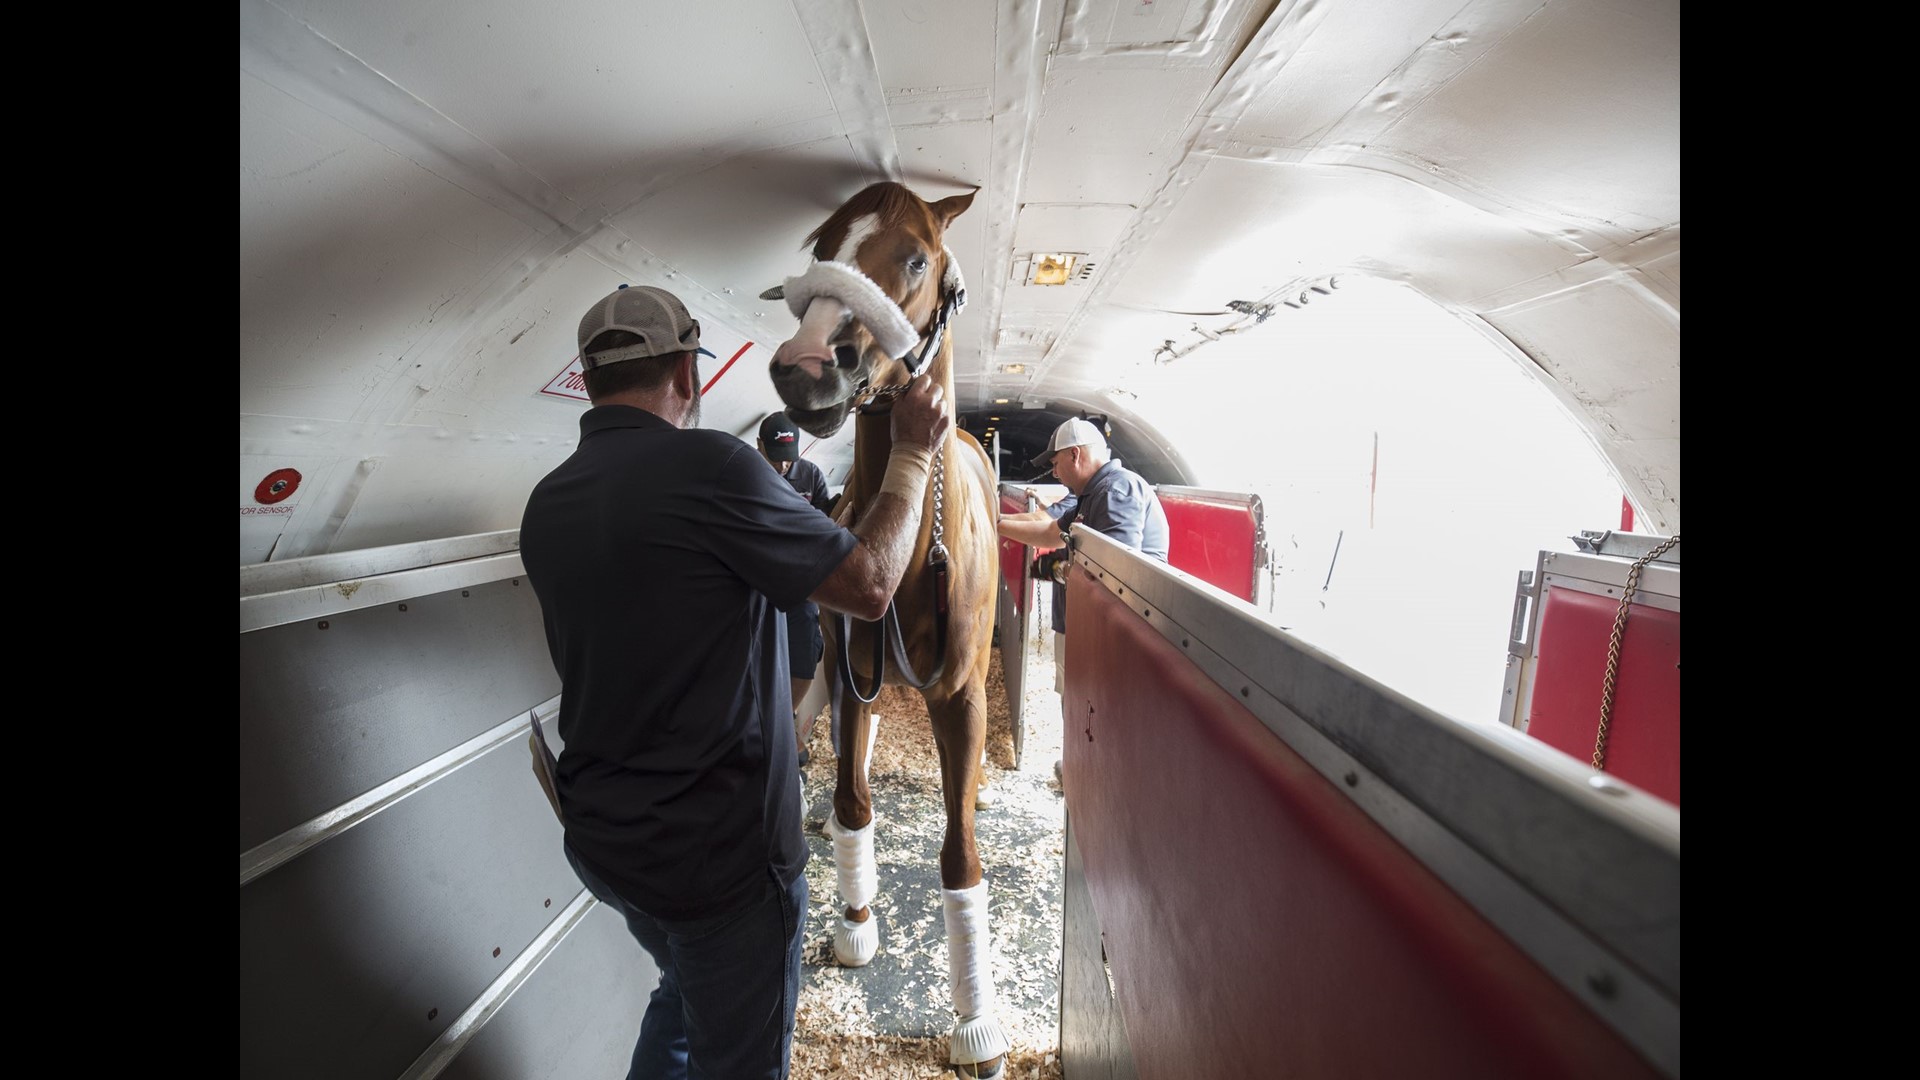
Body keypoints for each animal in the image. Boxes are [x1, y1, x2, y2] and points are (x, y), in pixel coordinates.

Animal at [762, 181, 1008, 1078]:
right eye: (822, 245)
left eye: (914, 258)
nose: (804, 366)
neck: (912, 551)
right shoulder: (849, 675)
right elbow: (852, 800)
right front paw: (856, 924)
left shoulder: (960, 698)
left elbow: (959, 854)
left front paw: (976, 1023)